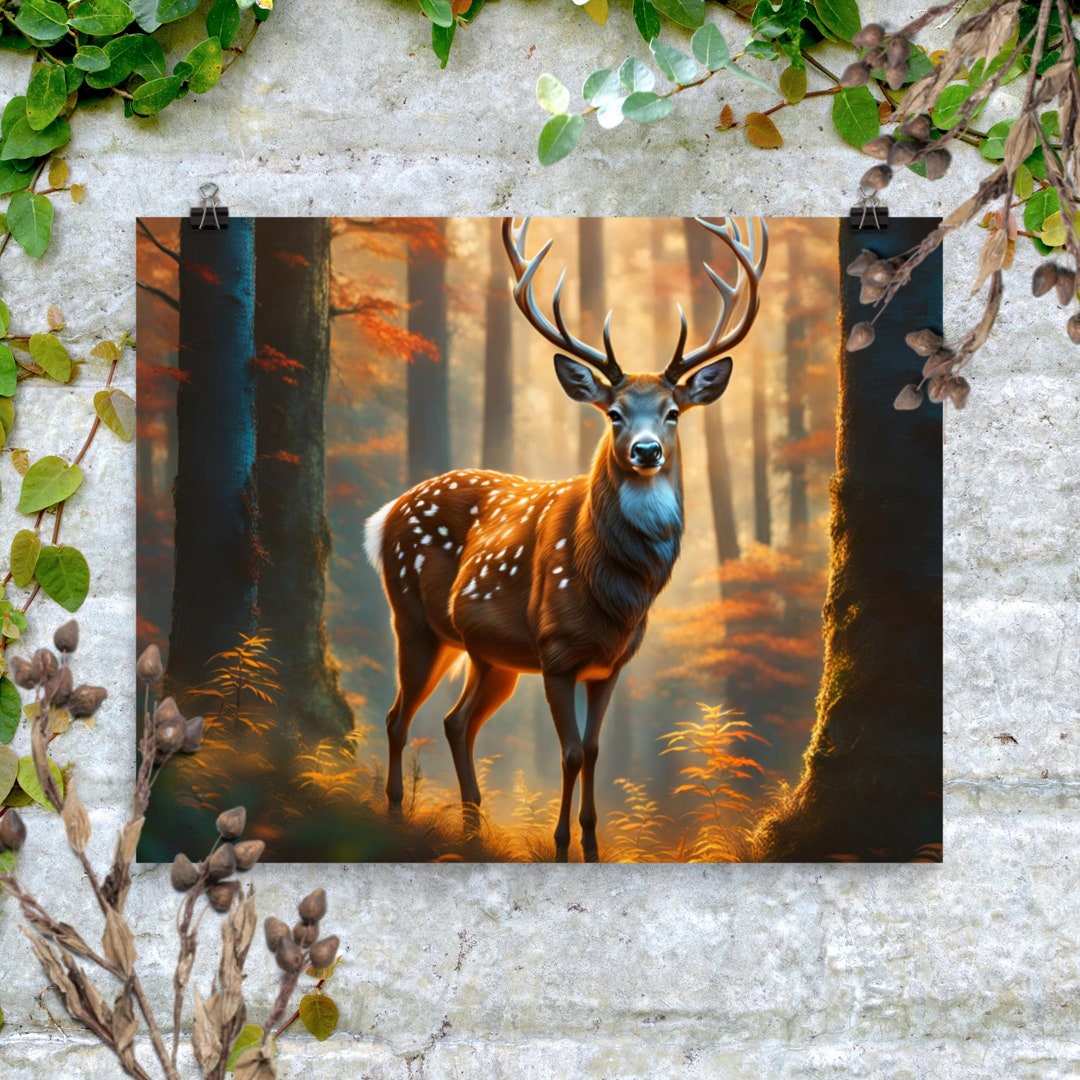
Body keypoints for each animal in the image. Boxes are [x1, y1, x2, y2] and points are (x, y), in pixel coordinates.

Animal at [364, 216, 767, 861]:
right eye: (614, 413)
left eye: (673, 411)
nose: (646, 450)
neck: (616, 591)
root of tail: (384, 517)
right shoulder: (555, 652)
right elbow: (572, 751)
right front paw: (559, 846)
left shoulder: (611, 664)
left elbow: (596, 751)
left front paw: (594, 846)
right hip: (415, 620)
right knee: (398, 716)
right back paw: (398, 814)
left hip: (489, 655)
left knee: (456, 721)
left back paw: (474, 827)